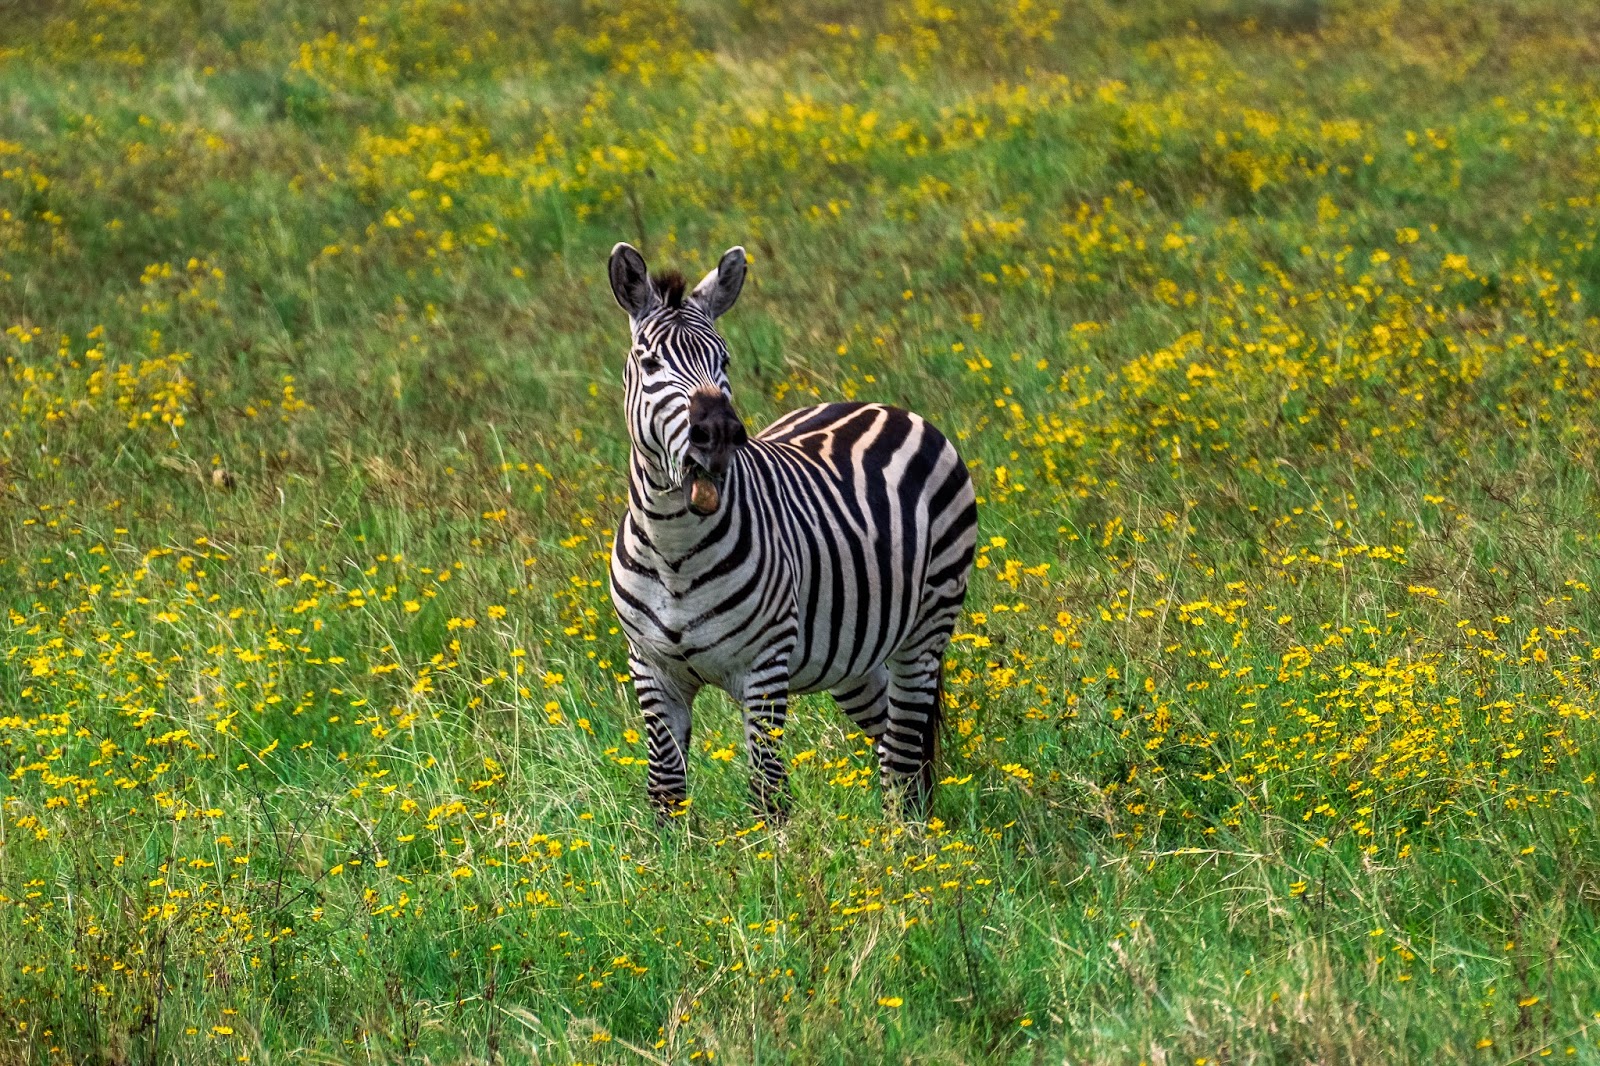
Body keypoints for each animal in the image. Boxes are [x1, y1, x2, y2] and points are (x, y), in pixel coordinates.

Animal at [606, 241, 978, 822]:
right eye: (650, 364)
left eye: (725, 361)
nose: (720, 432)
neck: (674, 549)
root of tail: (883, 405)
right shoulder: (651, 668)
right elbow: (665, 788)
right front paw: (673, 849)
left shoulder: (765, 664)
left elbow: (767, 790)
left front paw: (776, 849)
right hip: (852, 657)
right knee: (891, 740)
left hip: (928, 624)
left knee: (903, 752)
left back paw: (907, 840)